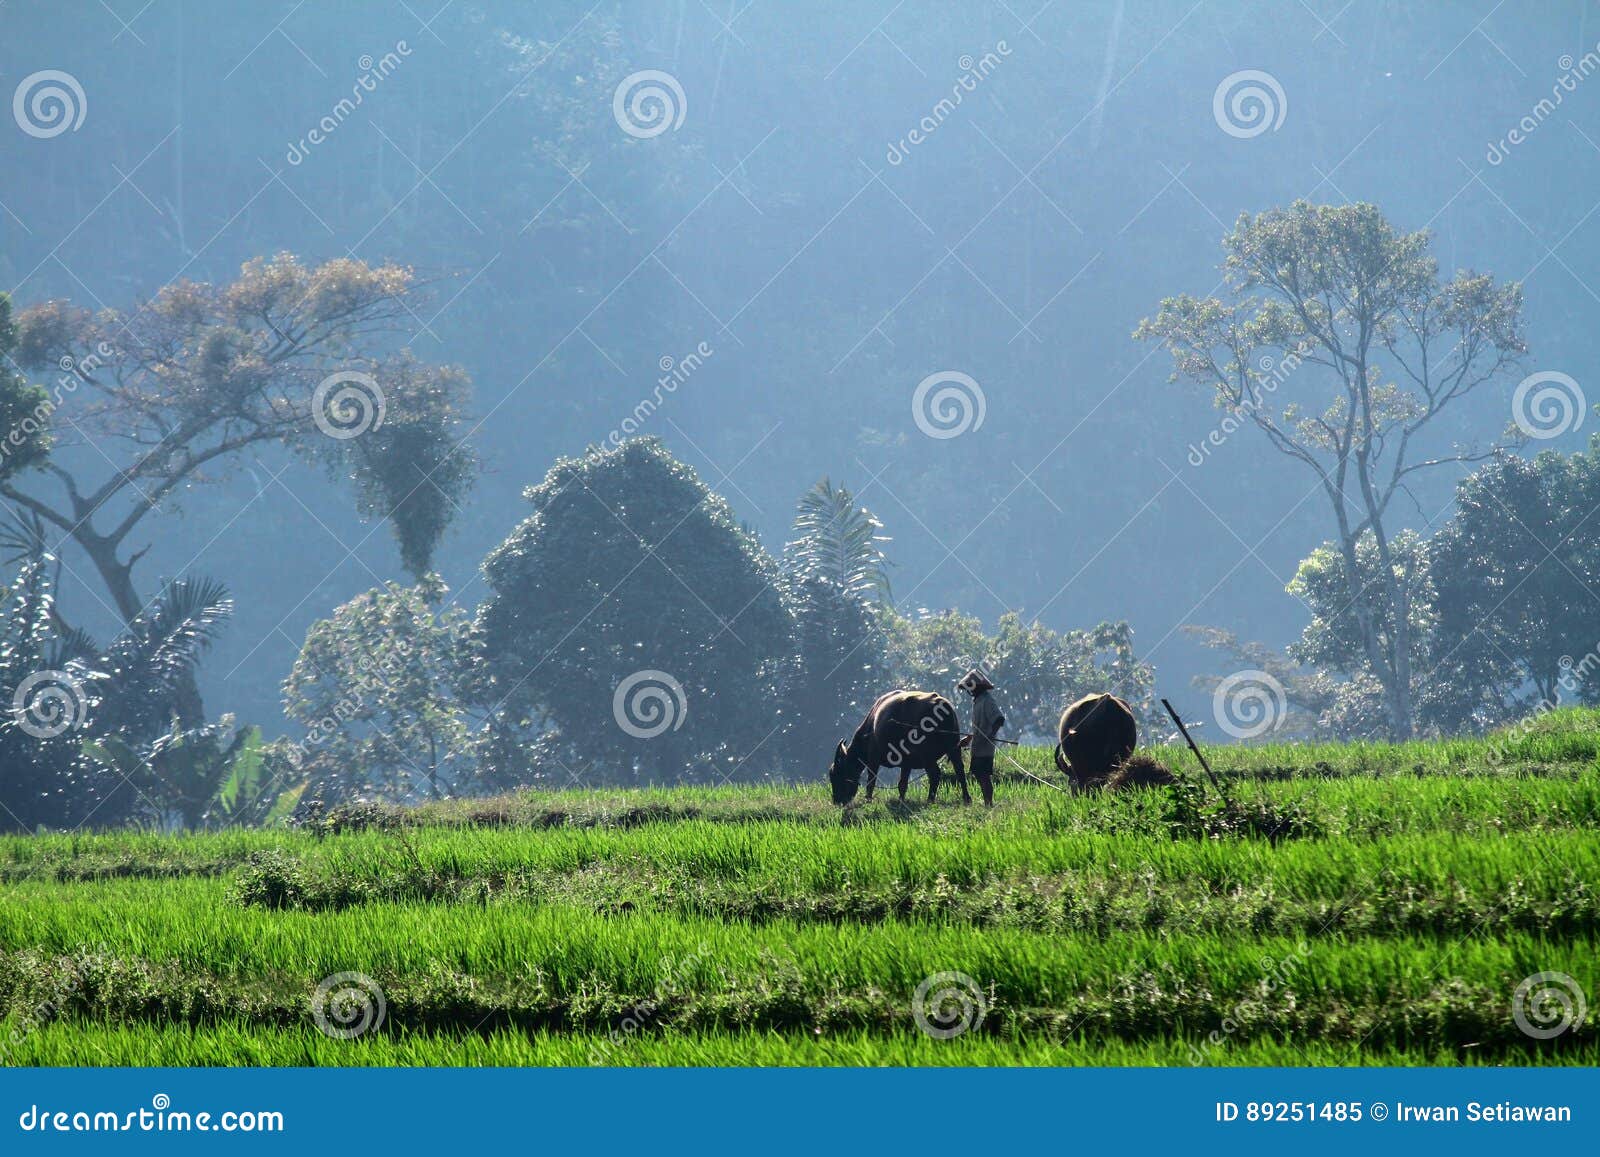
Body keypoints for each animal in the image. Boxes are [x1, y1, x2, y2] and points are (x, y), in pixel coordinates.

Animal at [829, 689, 970, 805]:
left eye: (836, 774)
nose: (837, 801)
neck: (870, 728)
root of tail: (941, 705)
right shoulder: (906, 764)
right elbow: (902, 784)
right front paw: (901, 800)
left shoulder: (873, 759)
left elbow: (871, 782)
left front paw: (868, 800)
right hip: (953, 746)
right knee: (959, 769)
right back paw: (966, 798)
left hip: (927, 755)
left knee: (935, 774)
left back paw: (930, 800)